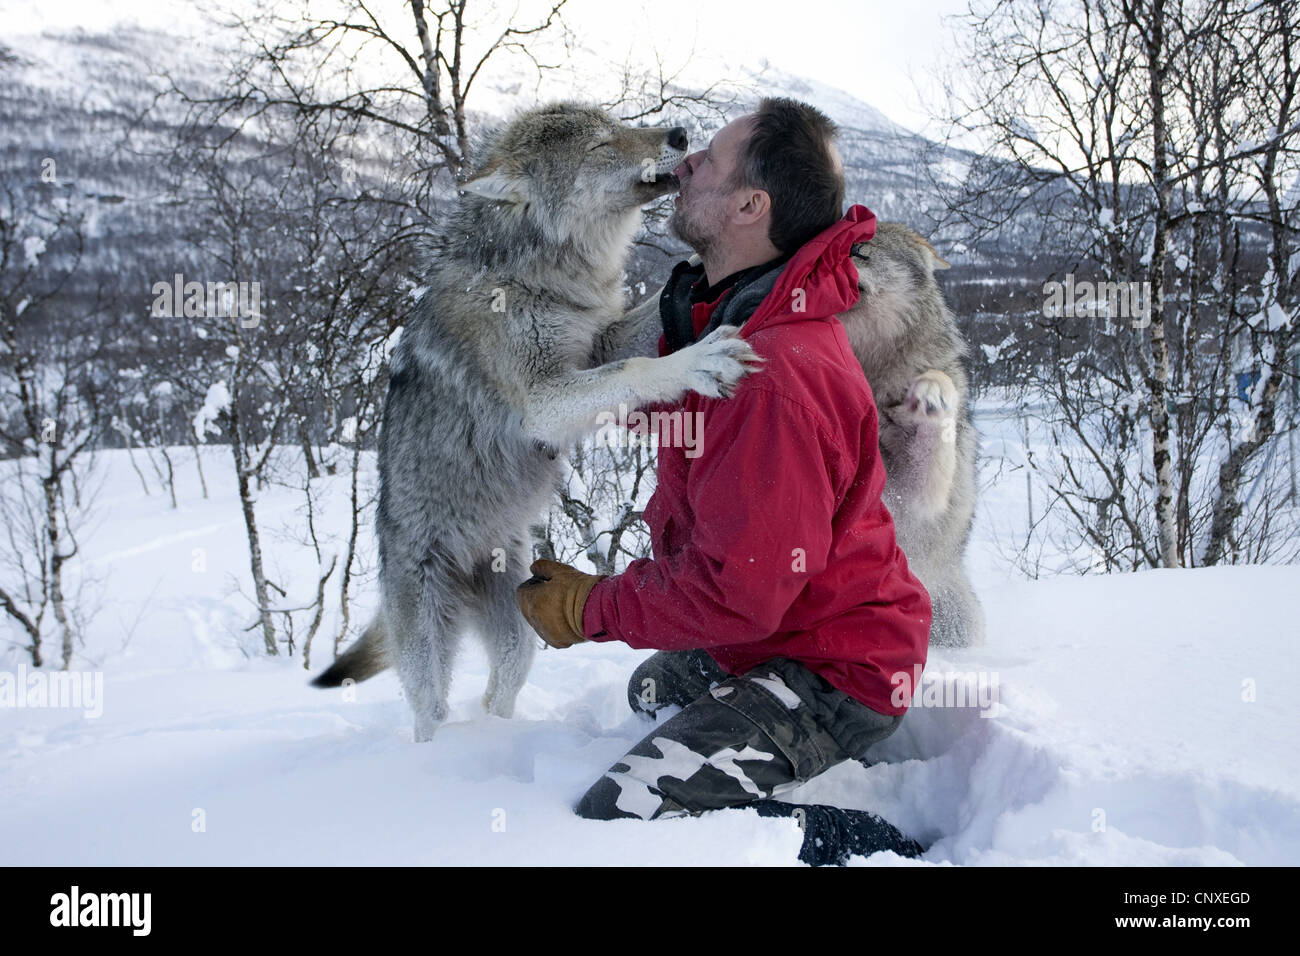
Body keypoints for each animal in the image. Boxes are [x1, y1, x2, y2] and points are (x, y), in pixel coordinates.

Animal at [311, 102, 762, 740]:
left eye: (617, 121)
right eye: (602, 145)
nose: (679, 134)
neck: (538, 273)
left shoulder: (597, 341)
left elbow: (636, 336)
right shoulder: (544, 400)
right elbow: (638, 367)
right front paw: (699, 360)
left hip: (518, 634)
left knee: (496, 691)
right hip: (429, 645)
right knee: (431, 713)